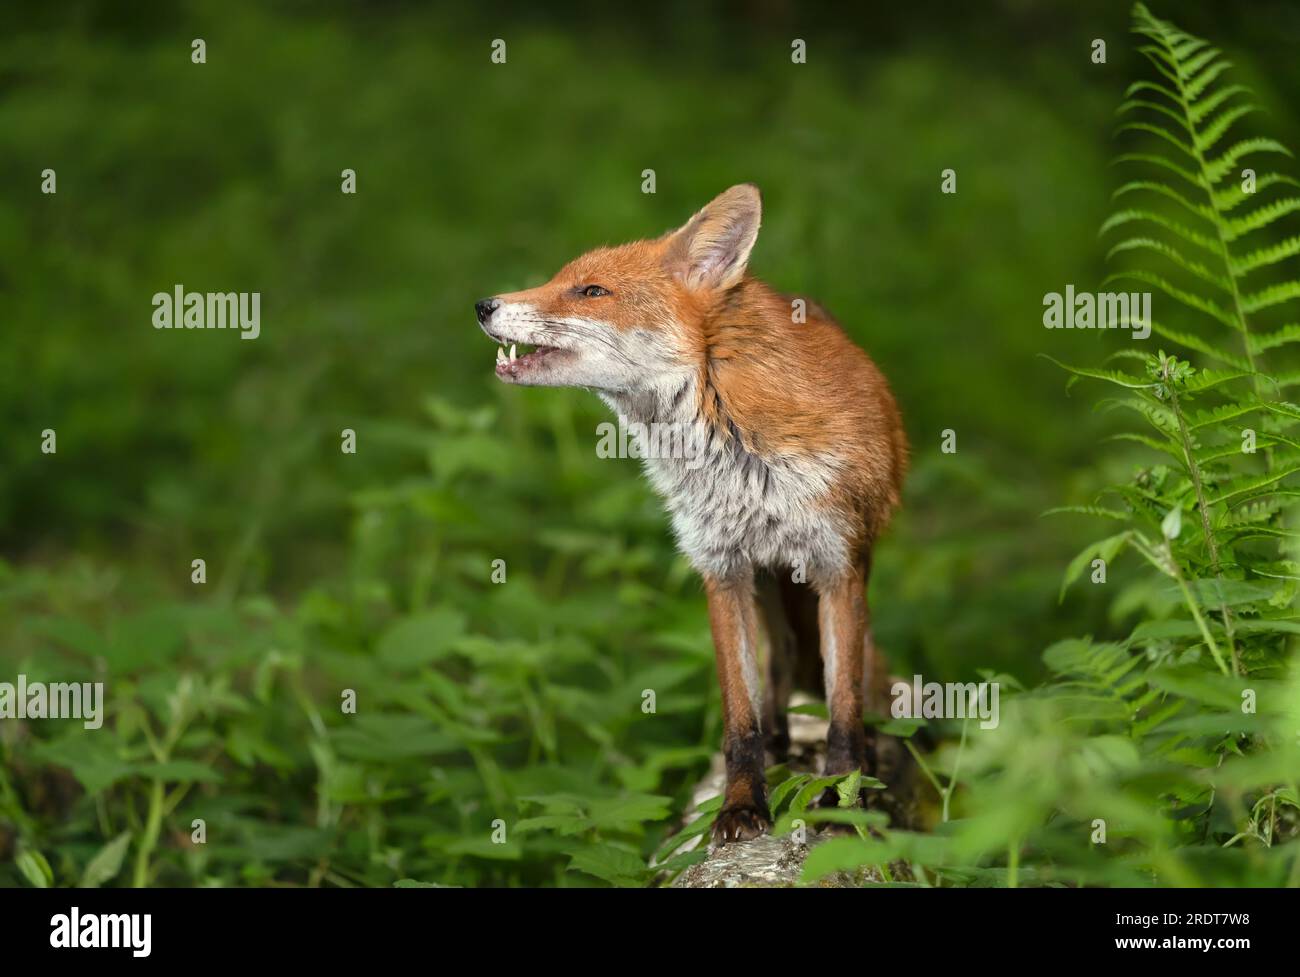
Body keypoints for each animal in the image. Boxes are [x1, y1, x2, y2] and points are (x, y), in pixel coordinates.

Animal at [476, 184, 908, 845]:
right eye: (556, 279)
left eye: (591, 291)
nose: (483, 305)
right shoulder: (721, 567)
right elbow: (738, 719)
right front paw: (741, 804)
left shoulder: (839, 564)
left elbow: (842, 708)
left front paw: (839, 797)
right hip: (768, 579)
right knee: (780, 659)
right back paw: (779, 741)